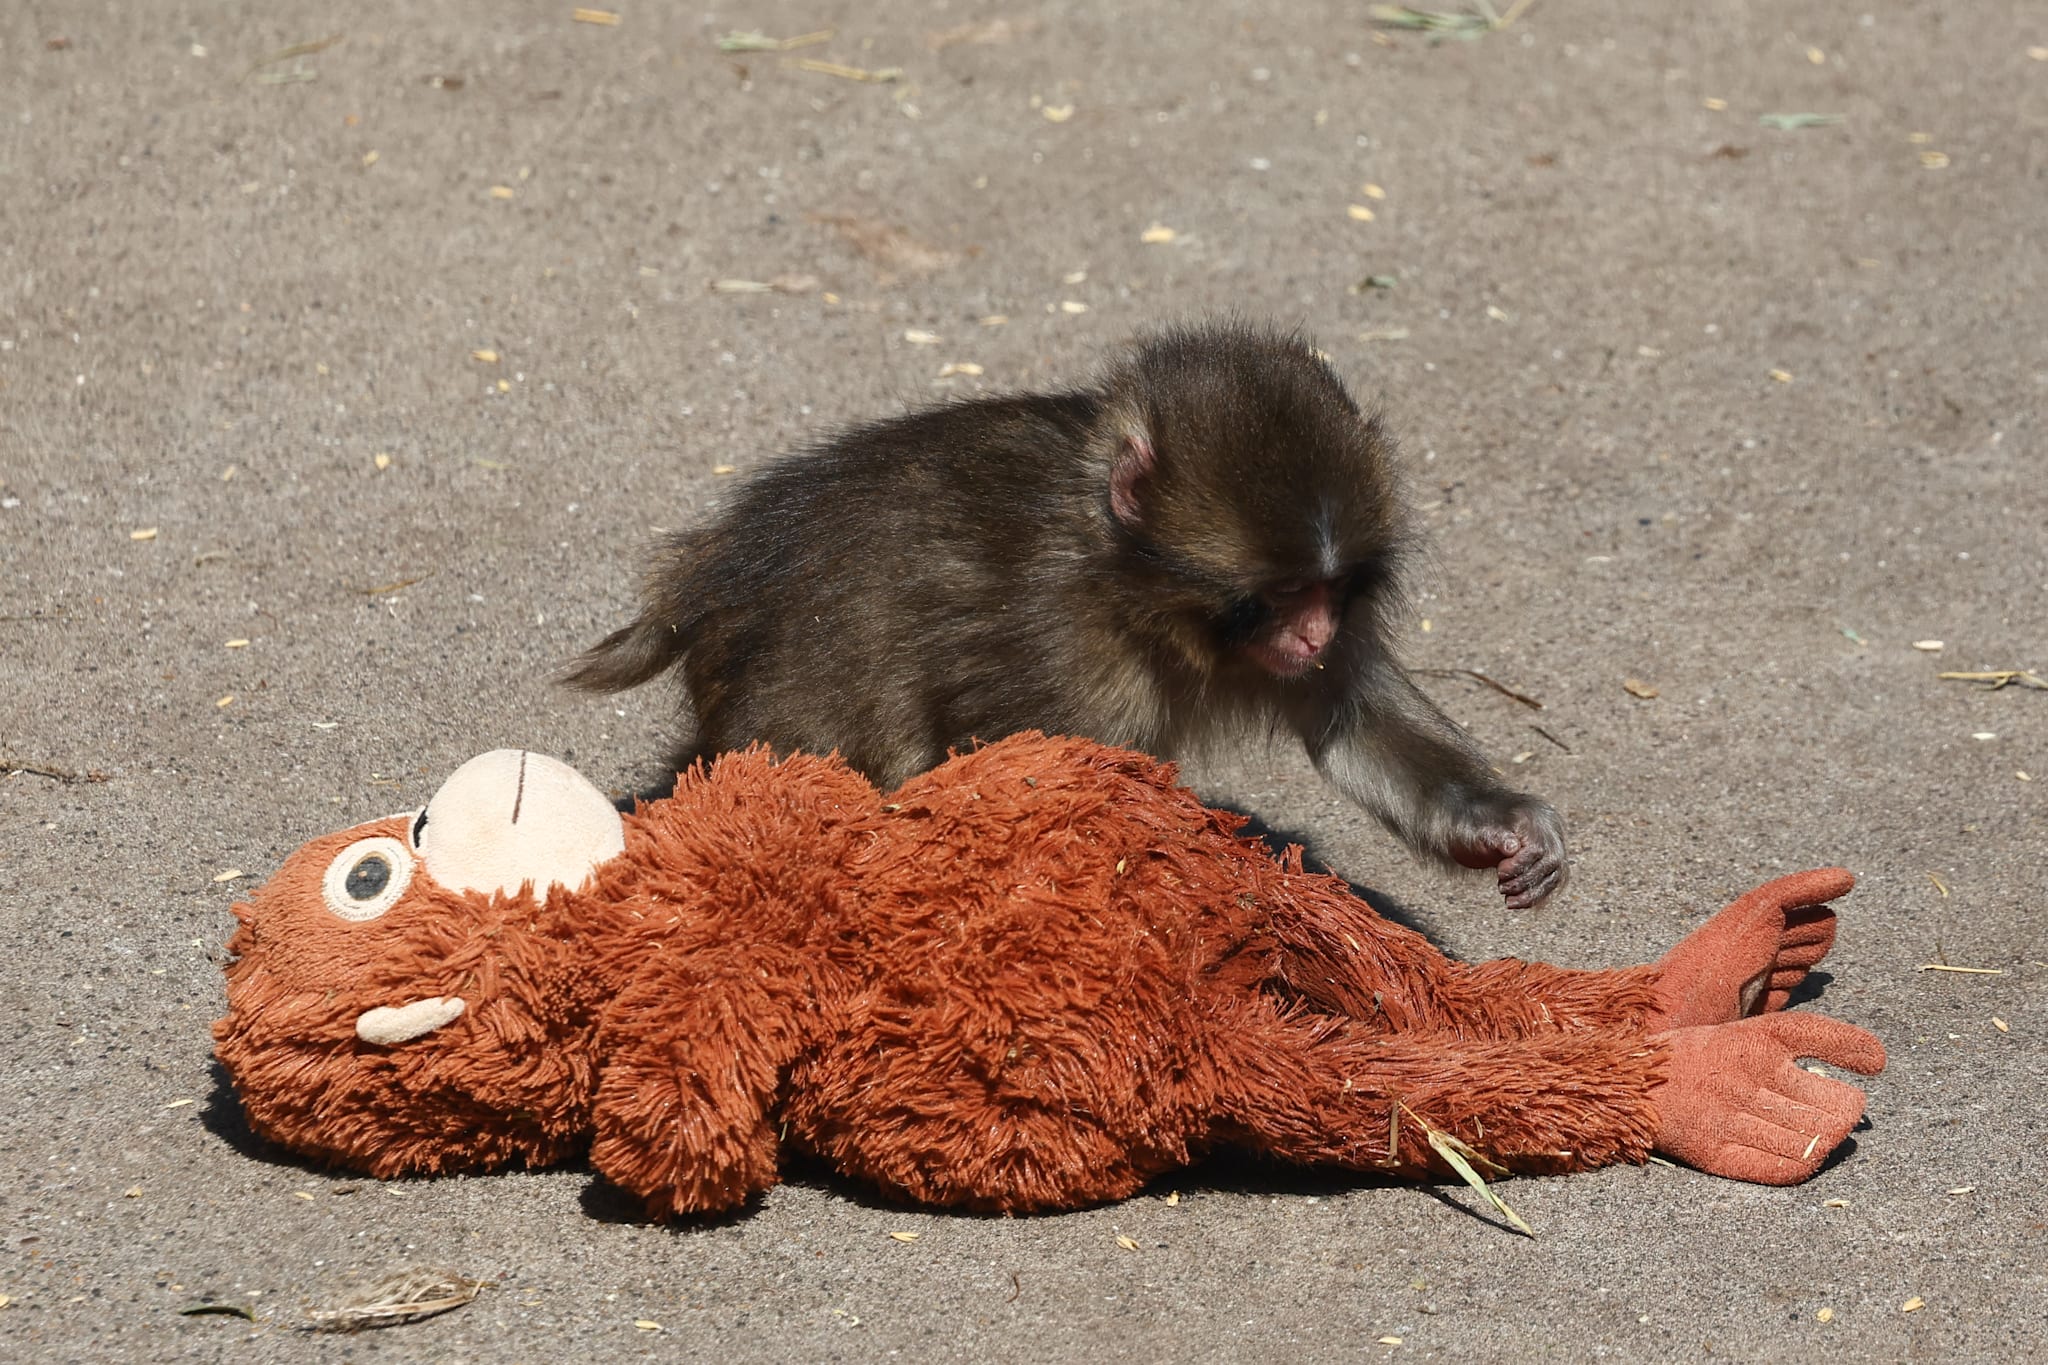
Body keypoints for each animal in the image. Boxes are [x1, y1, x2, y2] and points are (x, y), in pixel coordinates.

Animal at [566, 322, 1567, 908]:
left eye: (1331, 588)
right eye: (1273, 597)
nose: (1315, 634)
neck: (1129, 591)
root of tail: (709, 578)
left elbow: (1353, 723)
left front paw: (1502, 825)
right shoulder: (1067, 663)